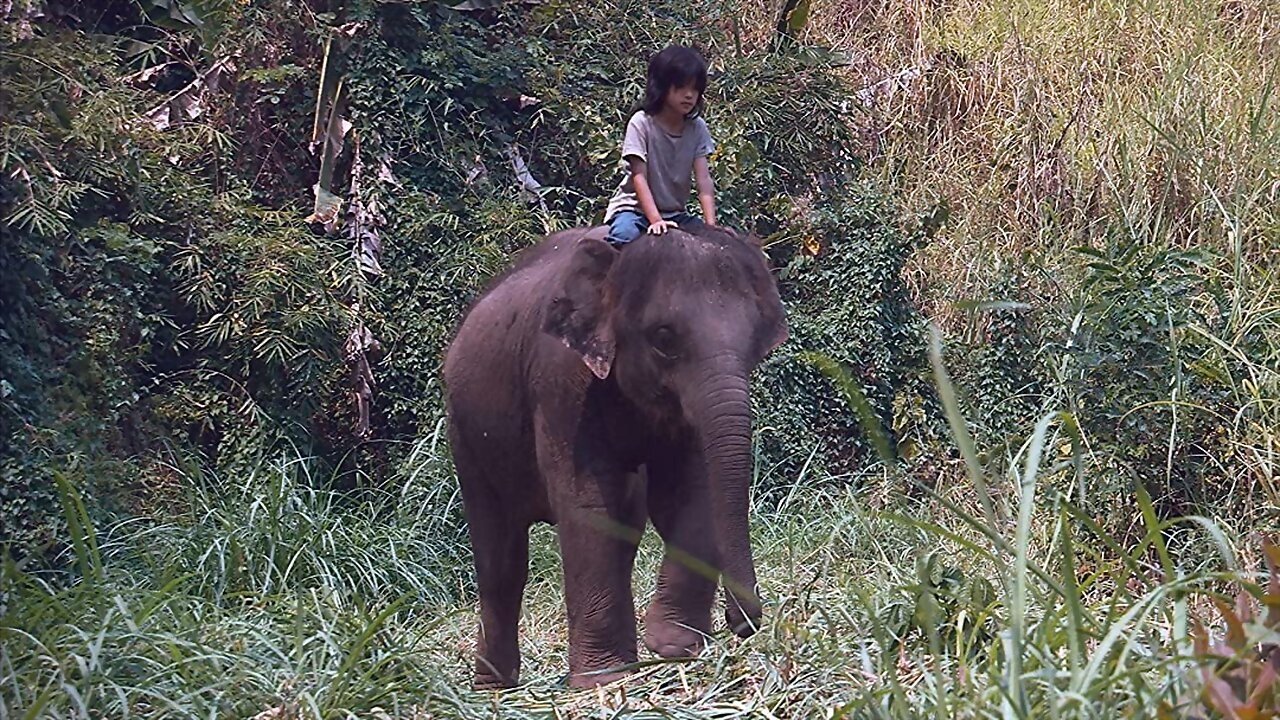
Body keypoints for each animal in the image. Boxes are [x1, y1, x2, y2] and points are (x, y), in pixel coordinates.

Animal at [442, 223, 787, 689]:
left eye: (756, 343)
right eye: (664, 338)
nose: (740, 623)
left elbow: (691, 491)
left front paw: (672, 646)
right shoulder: (561, 380)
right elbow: (588, 506)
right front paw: (604, 680)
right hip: (466, 434)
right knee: (501, 558)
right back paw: (494, 688)